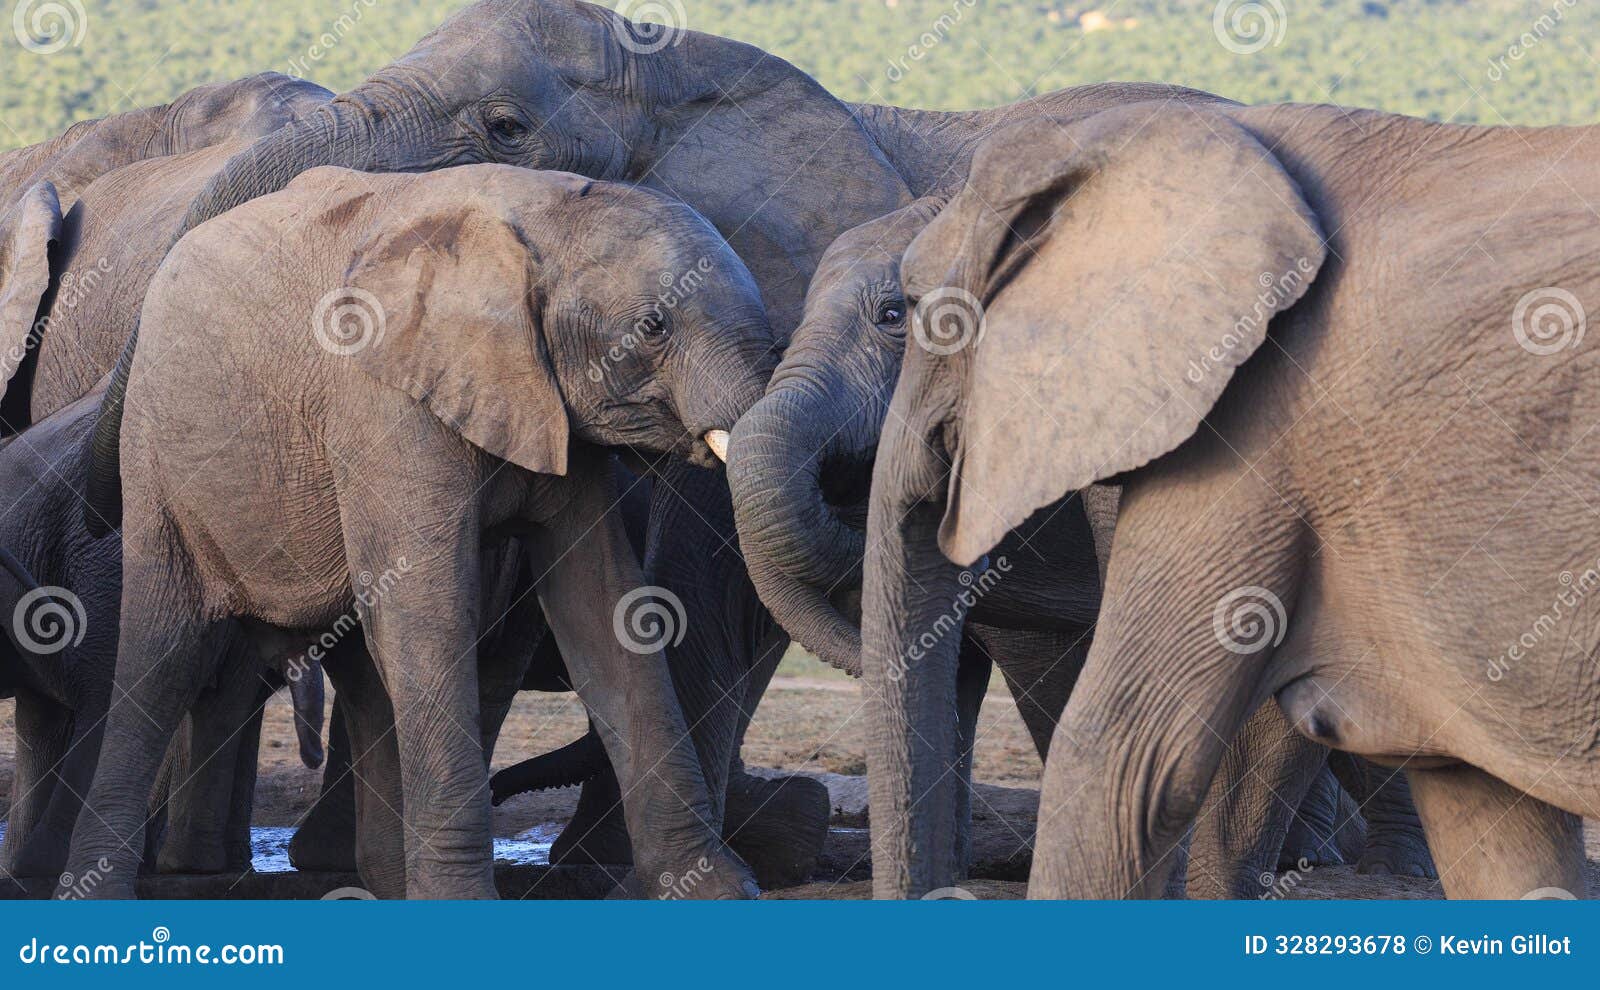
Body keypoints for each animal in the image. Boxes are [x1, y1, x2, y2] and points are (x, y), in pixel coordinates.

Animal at [61, 164, 778, 899]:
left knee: (364, 672)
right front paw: (464, 904)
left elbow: (603, 607)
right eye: (654, 325)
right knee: (161, 658)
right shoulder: (384, 404)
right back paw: (92, 891)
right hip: (156, 462)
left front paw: (718, 889)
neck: (541, 211)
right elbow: (432, 610)